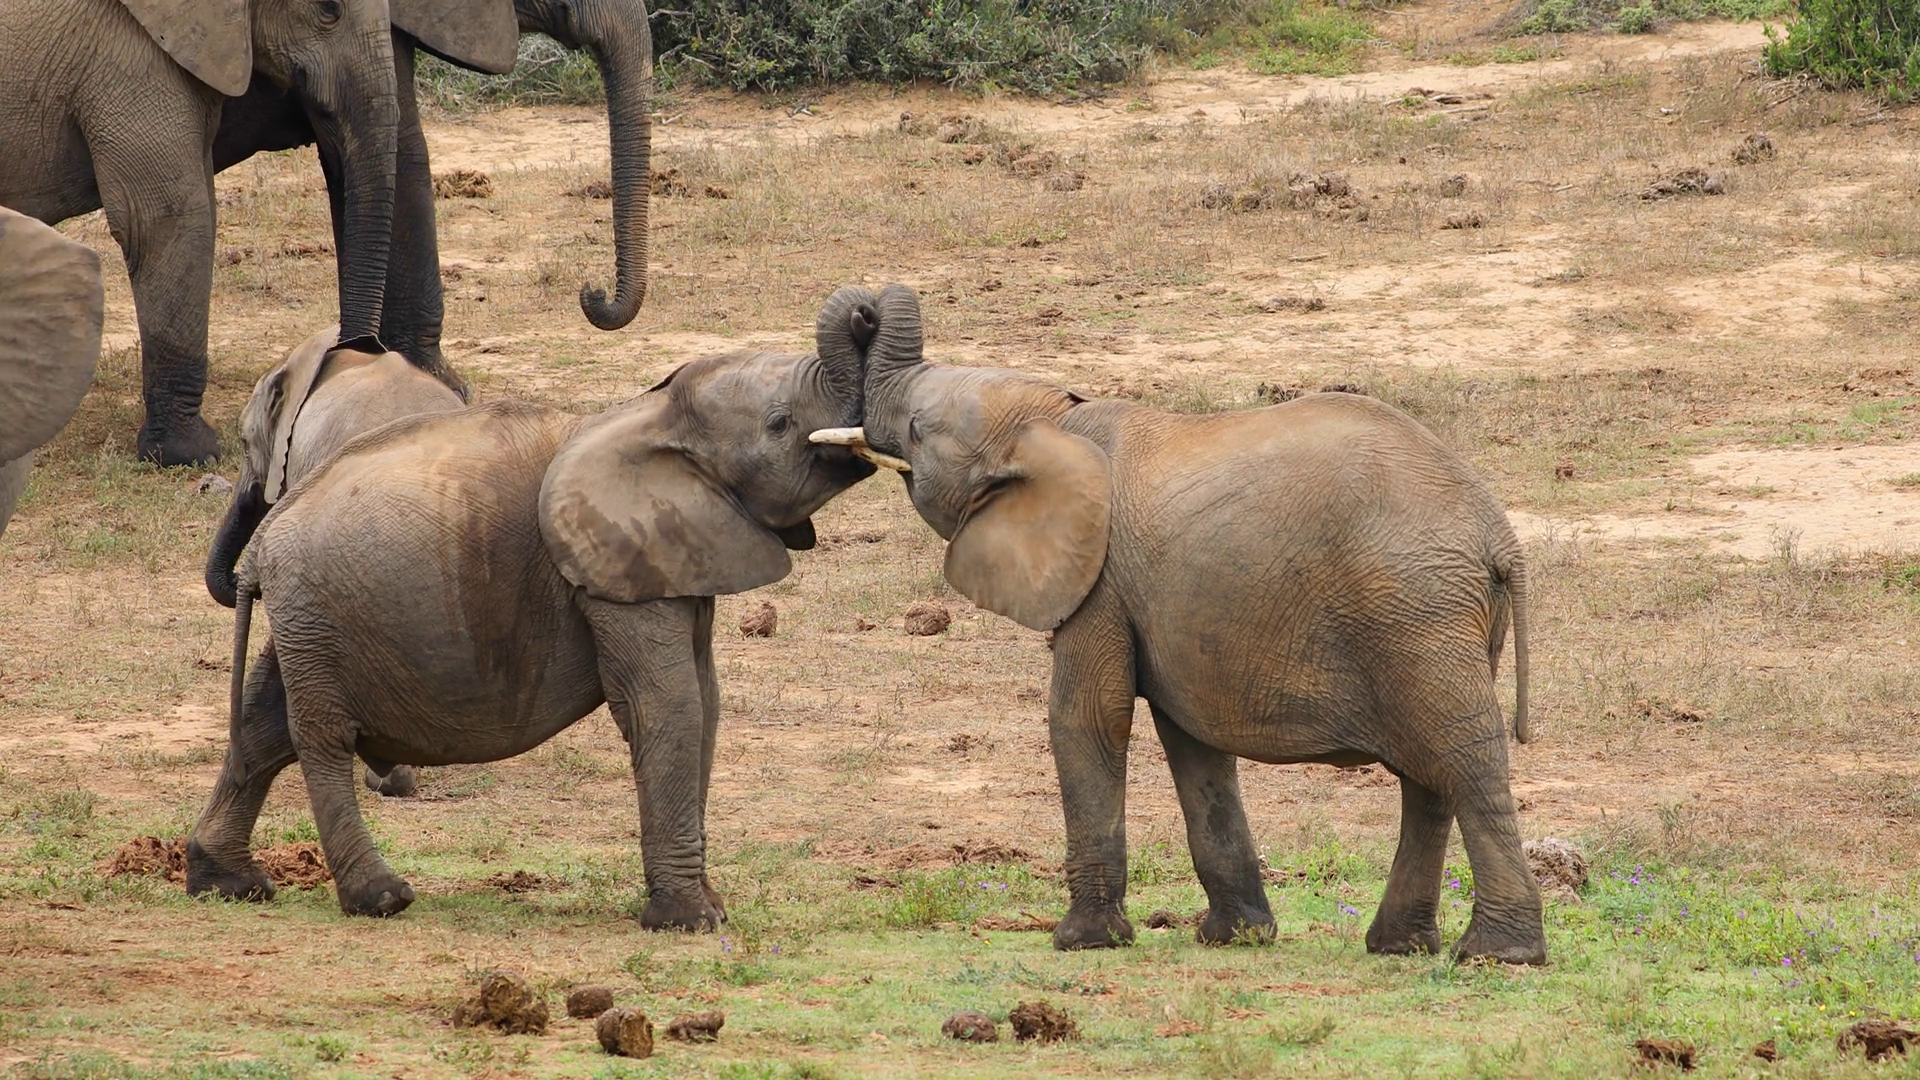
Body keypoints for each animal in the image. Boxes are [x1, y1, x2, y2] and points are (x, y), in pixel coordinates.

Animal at [813, 285, 1544, 964]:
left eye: (915, 429)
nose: (864, 311)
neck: (1052, 416)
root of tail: (1498, 535)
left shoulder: (1100, 581)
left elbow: (1088, 716)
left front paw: (1081, 942)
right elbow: (1192, 742)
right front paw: (1236, 937)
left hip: (1416, 608)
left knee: (1462, 756)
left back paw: (1497, 956)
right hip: (1439, 616)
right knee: (1429, 777)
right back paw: (1400, 947)